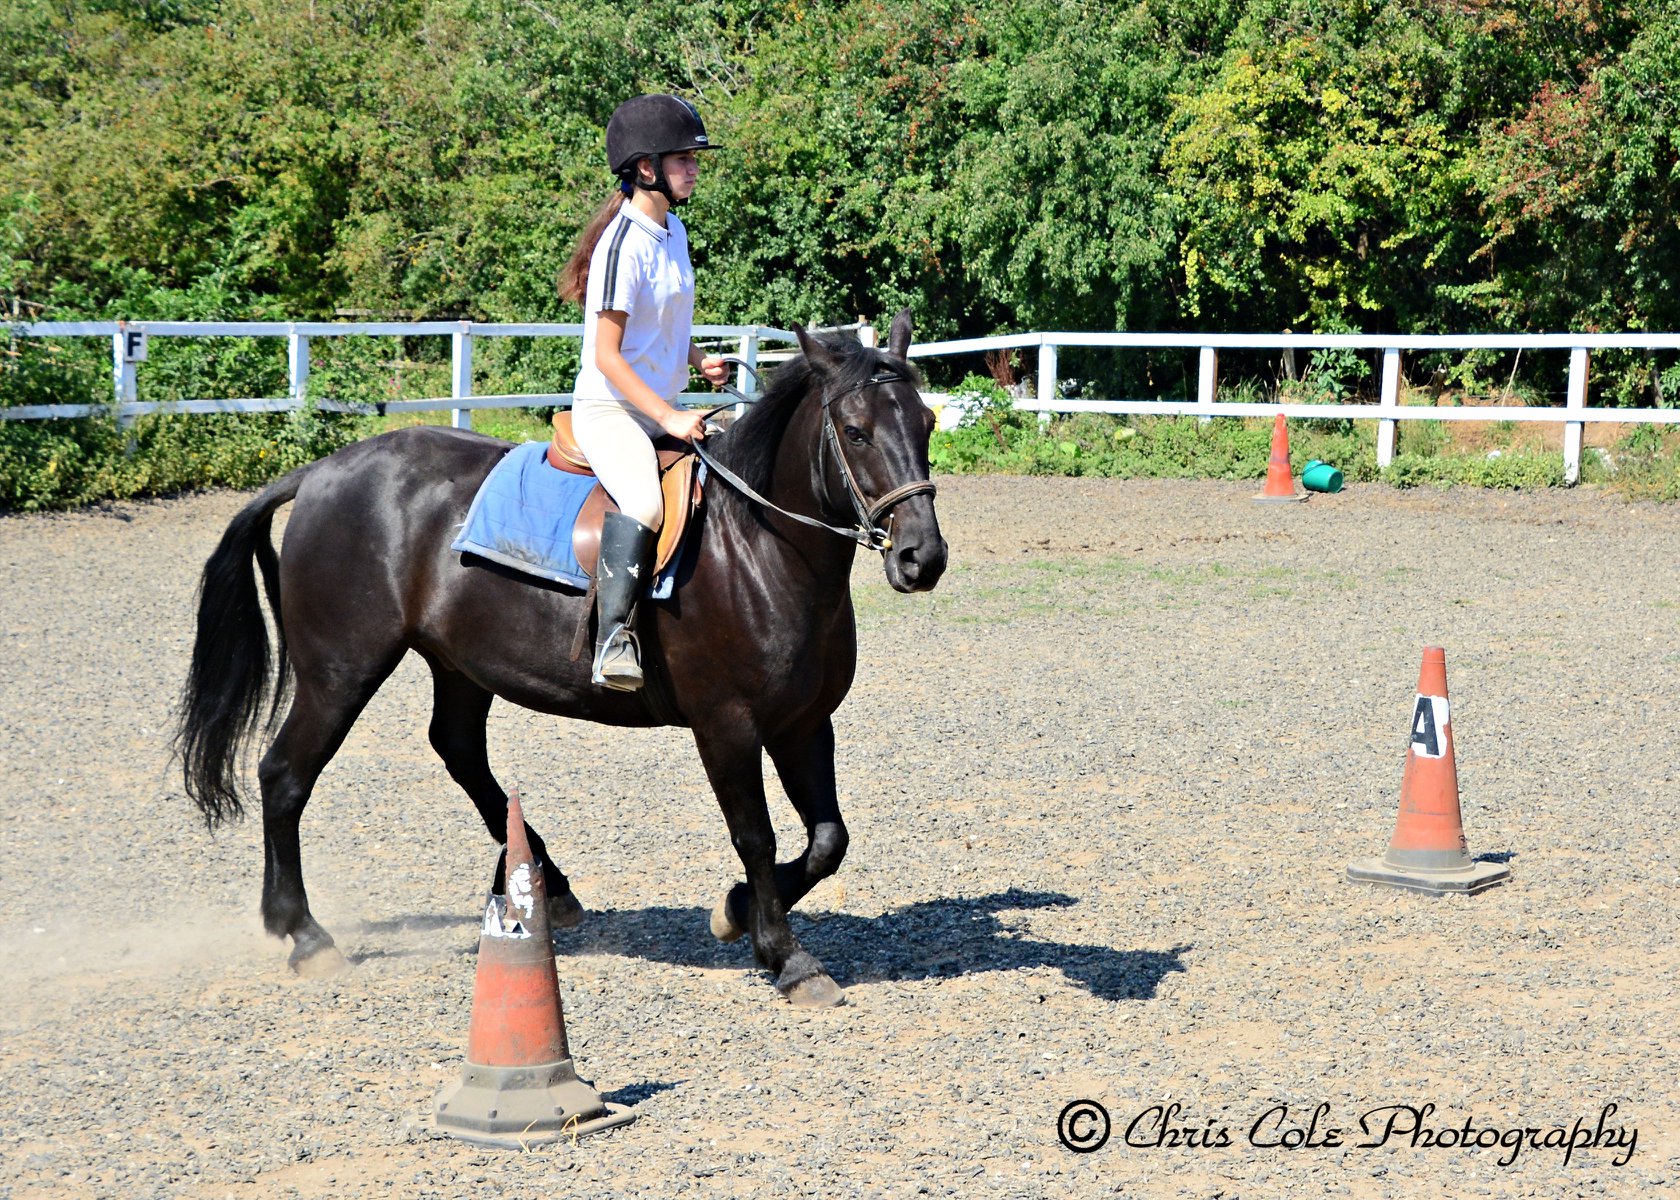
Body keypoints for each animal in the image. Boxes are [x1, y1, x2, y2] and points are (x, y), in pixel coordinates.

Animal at [173, 311, 946, 1008]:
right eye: (855, 432)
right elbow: (755, 836)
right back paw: (304, 933)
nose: (923, 557)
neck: (756, 545)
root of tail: (319, 474)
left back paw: (554, 886)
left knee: (458, 751)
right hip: (340, 673)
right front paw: (785, 956)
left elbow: (827, 839)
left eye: (926, 425)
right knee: (285, 776)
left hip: (459, 665)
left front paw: (735, 912)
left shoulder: (803, 722)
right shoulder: (726, 726)